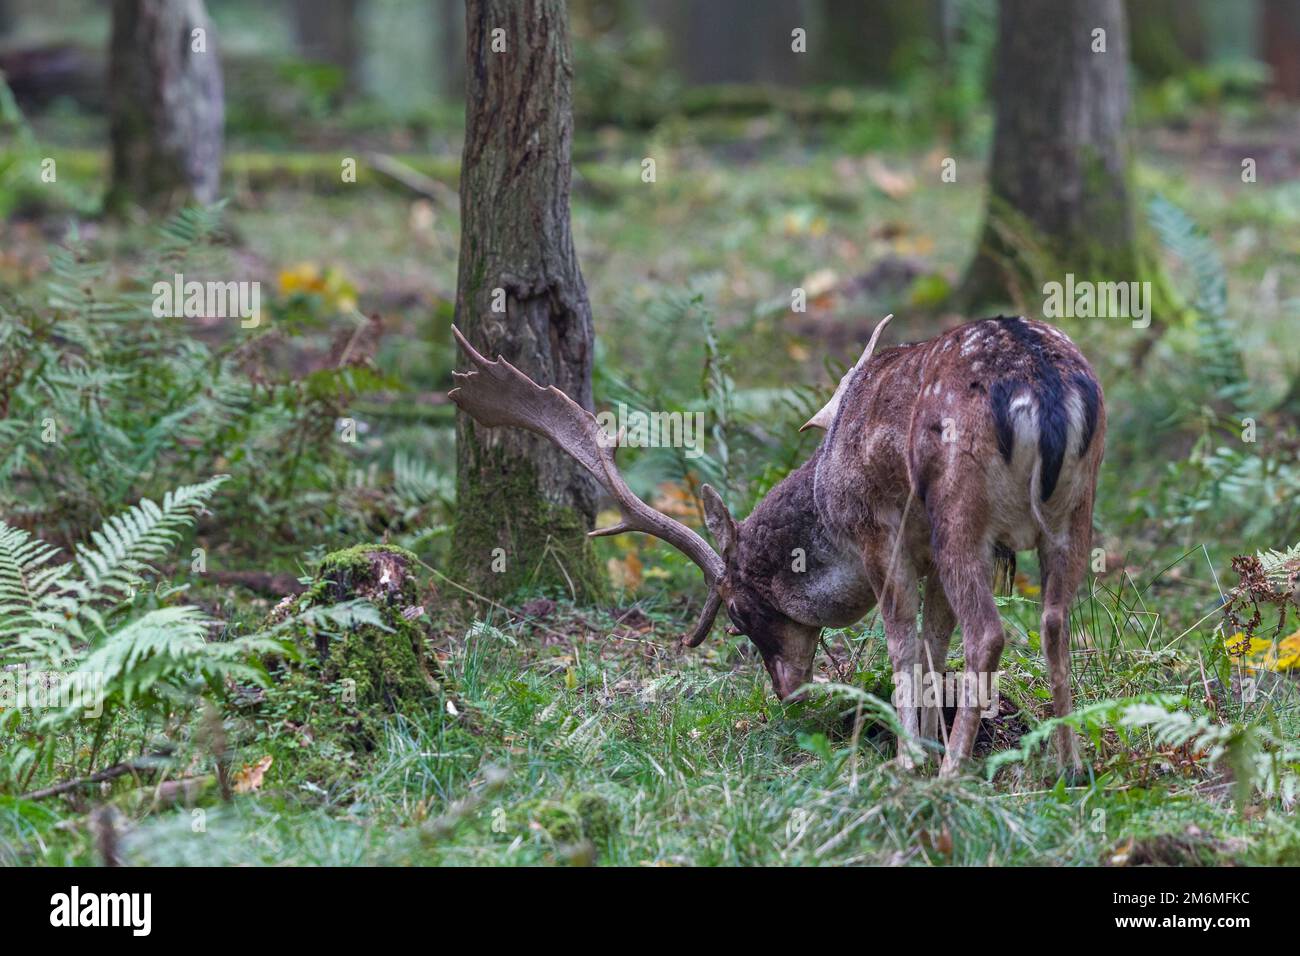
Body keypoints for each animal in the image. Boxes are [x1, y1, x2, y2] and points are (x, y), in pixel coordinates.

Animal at [449, 314, 1105, 776]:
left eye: (737, 616)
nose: (786, 691)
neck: (825, 495)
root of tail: (1044, 388)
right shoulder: (923, 555)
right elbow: (933, 642)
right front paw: (928, 736)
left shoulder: (877, 532)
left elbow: (903, 641)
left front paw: (910, 756)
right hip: (1076, 505)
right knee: (1053, 619)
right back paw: (1070, 767)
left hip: (960, 512)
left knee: (990, 632)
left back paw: (951, 774)